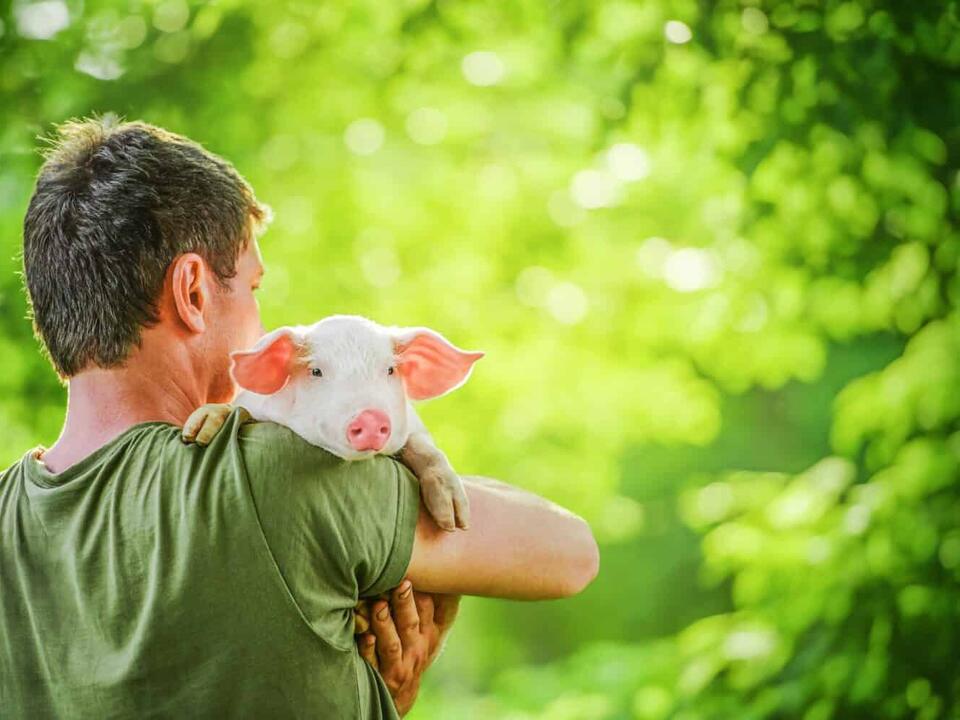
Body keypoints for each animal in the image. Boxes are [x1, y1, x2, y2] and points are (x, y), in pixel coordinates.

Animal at [181, 314, 483, 531]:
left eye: (390, 370)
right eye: (316, 371)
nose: (371, 417)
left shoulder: (413, 428)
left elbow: (425, 448)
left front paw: (455, 521)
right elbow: (238, 410)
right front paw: (197, 432)